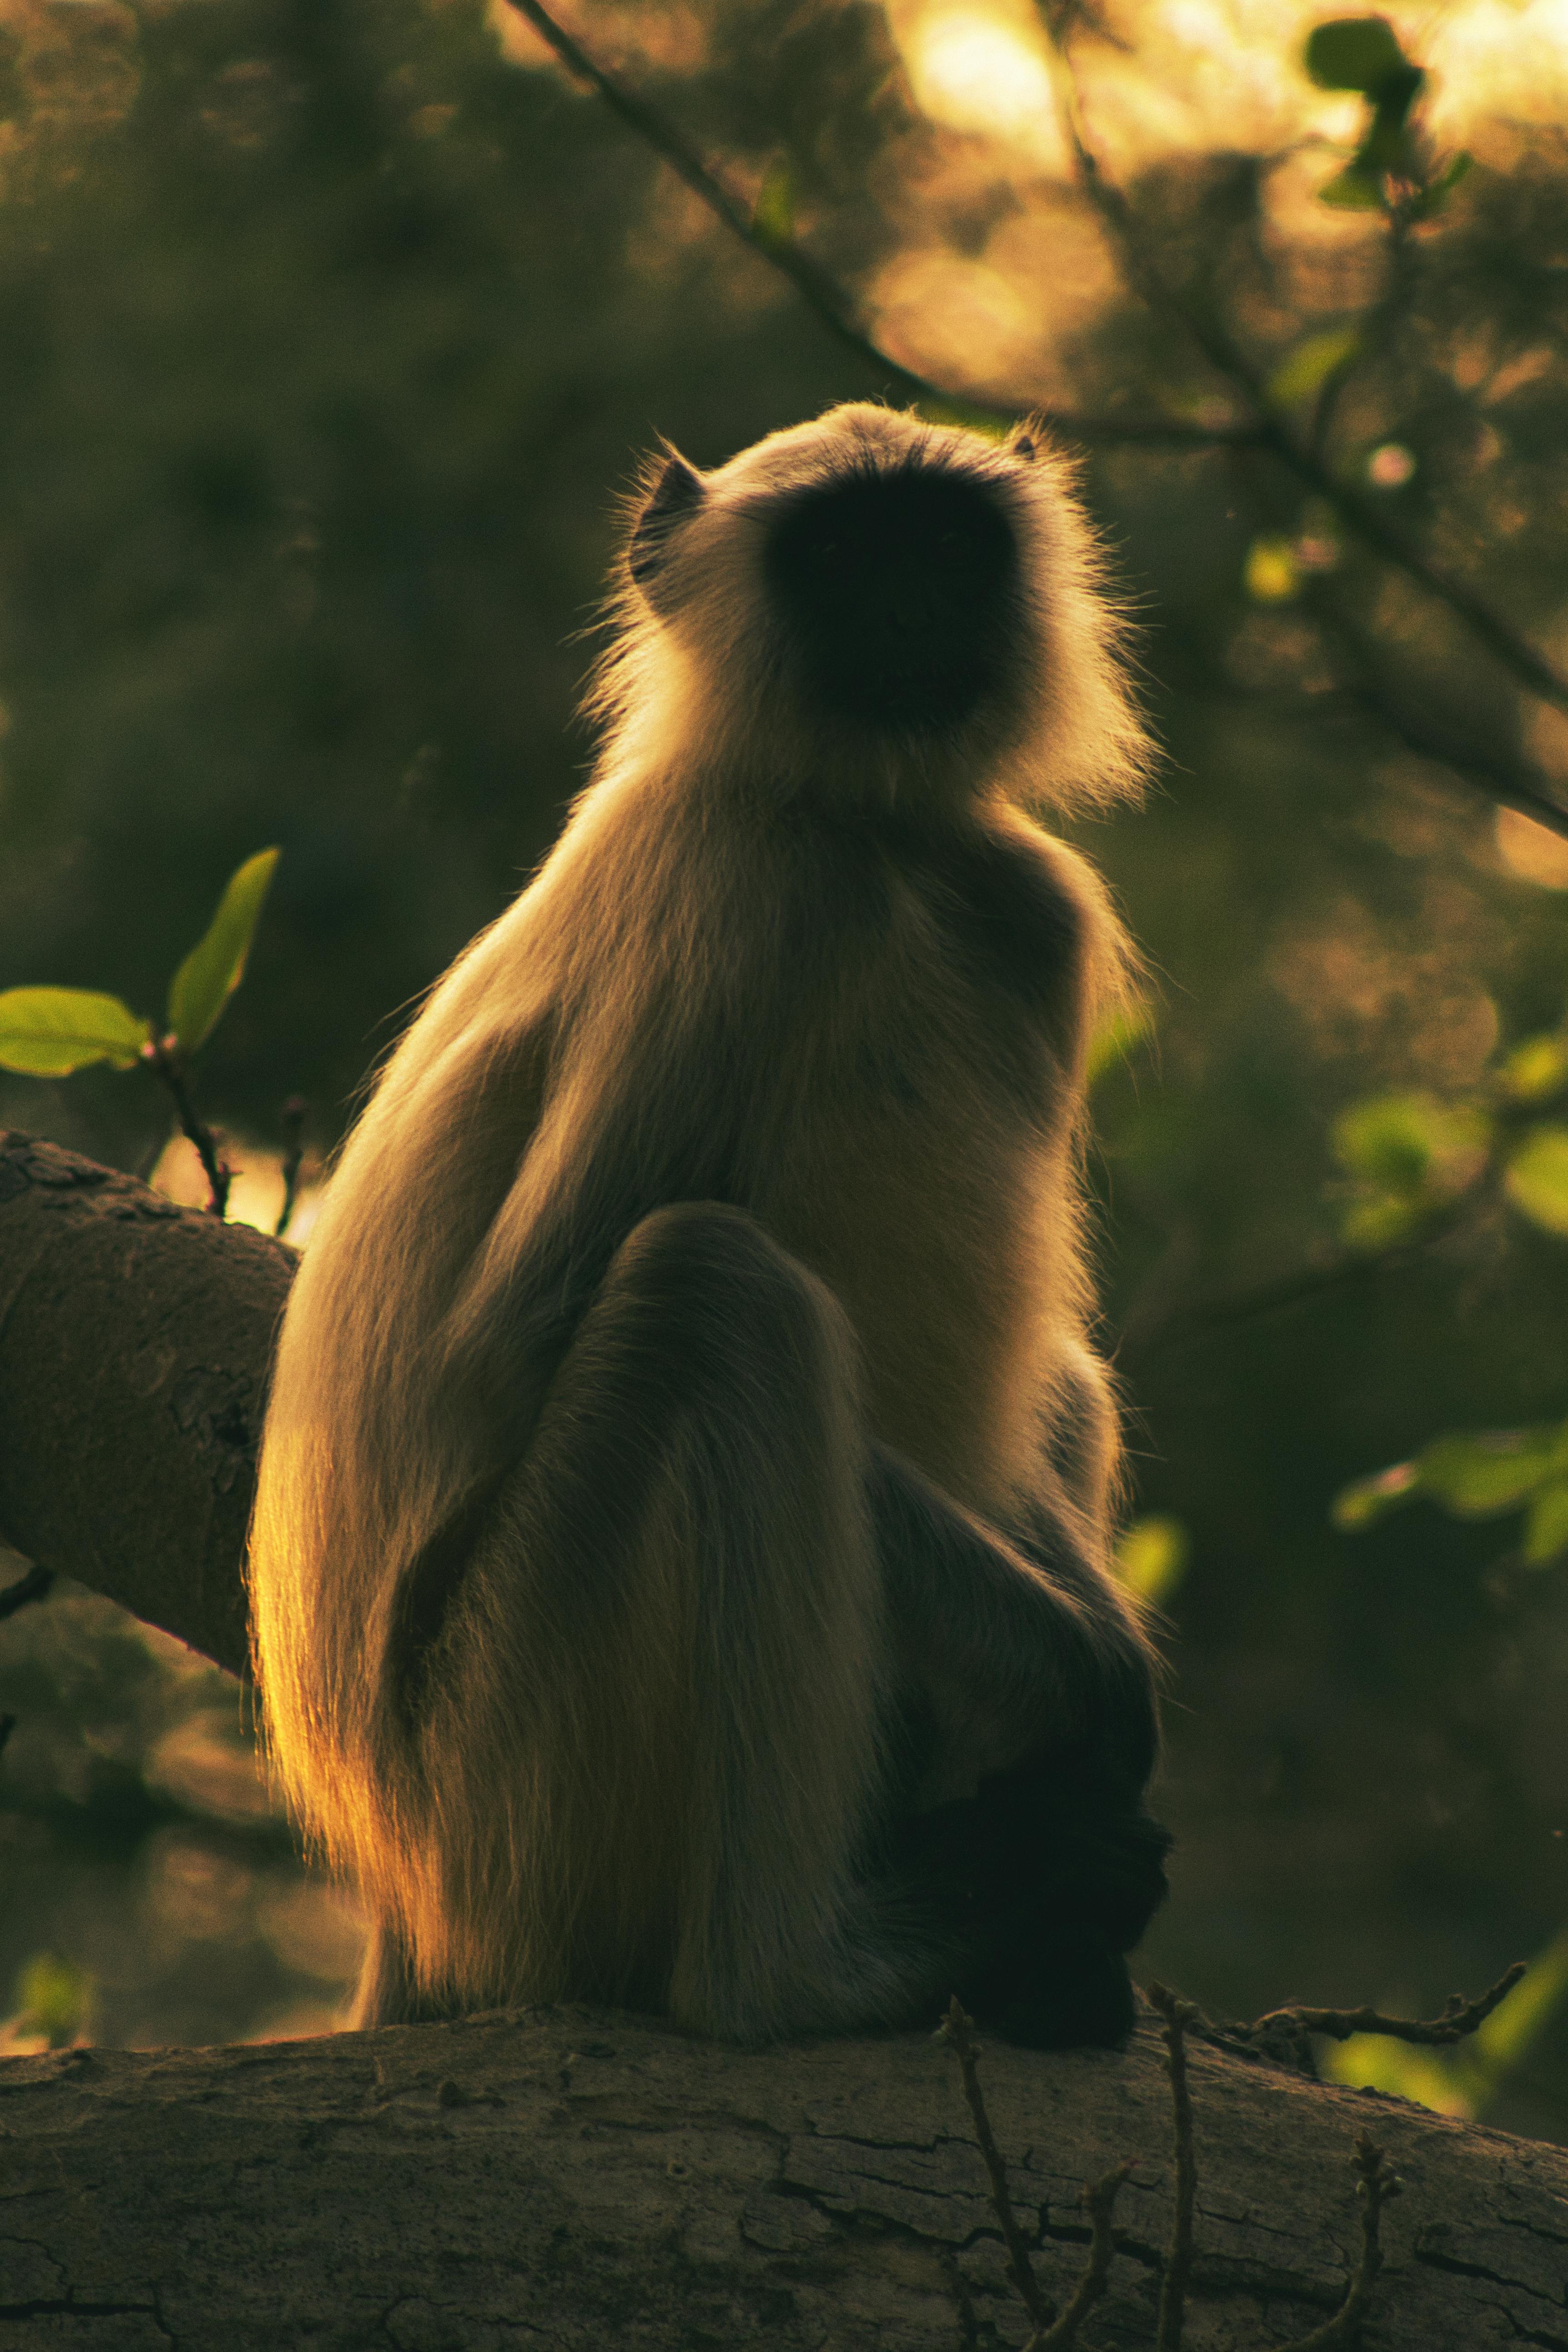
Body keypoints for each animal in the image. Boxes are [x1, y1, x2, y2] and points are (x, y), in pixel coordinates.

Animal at [248, 401, 1170, 2050]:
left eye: (942, 544)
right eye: (843, 552)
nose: (909, 604)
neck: (875, 839)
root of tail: (408, 1894)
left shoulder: (1025, 909)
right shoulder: (743, 890)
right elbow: (517, 1346)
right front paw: (1087, 1677)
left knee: (1049, 1378)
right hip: (513, 1776)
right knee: (709, 1289)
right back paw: (790, 1971)